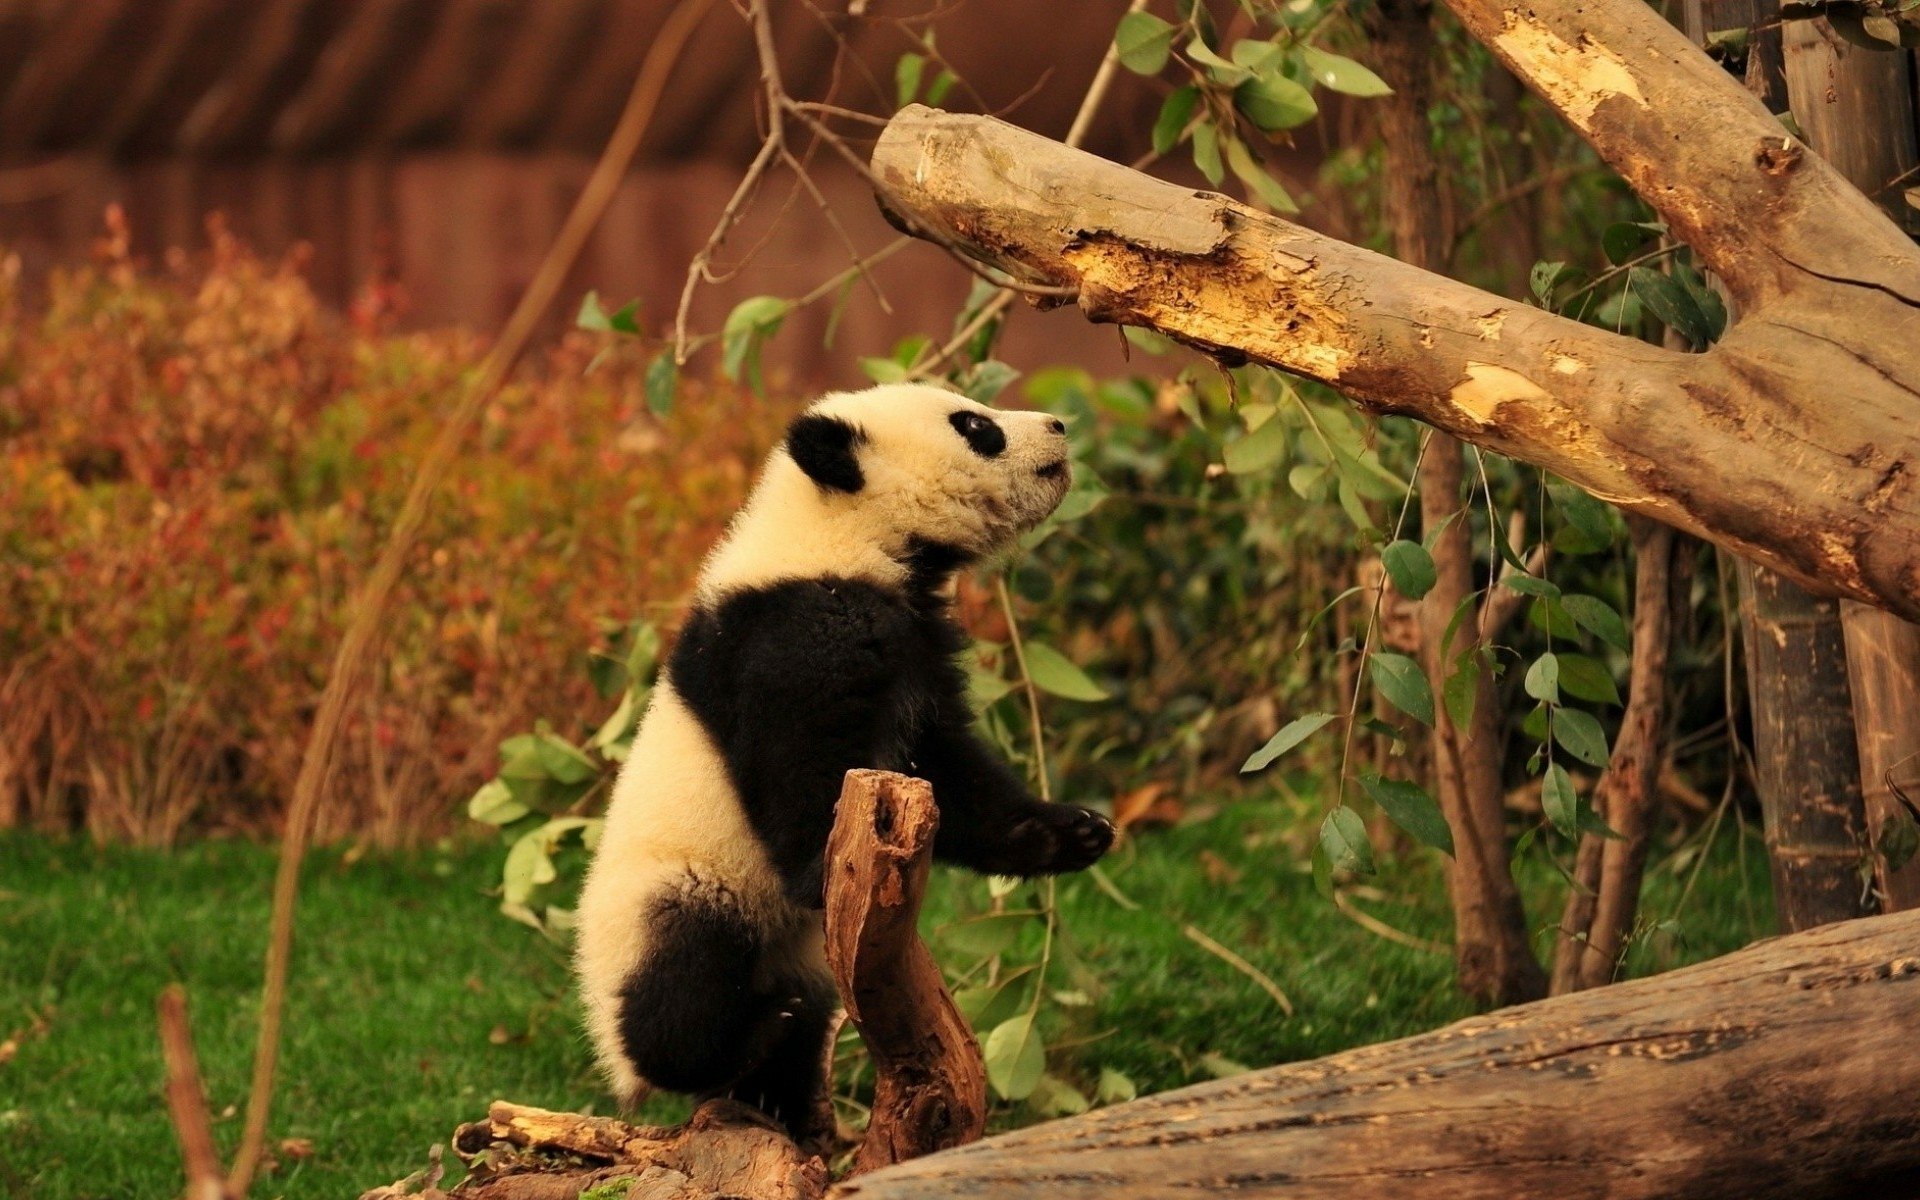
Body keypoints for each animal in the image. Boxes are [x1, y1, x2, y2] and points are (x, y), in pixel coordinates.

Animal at [573, 382, 1117, 1142]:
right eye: (974, 426)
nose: (1059, 426)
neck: (840, 536)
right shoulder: (795, 631)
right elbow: (801, 767)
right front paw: (818, 873)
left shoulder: (918, 653)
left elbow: (950, 773)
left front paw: (1071, 832)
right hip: (670, 893)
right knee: (681, 985)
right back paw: (739, 1038)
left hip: (798, 956)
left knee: (798, 1023)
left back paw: (783, 1105)